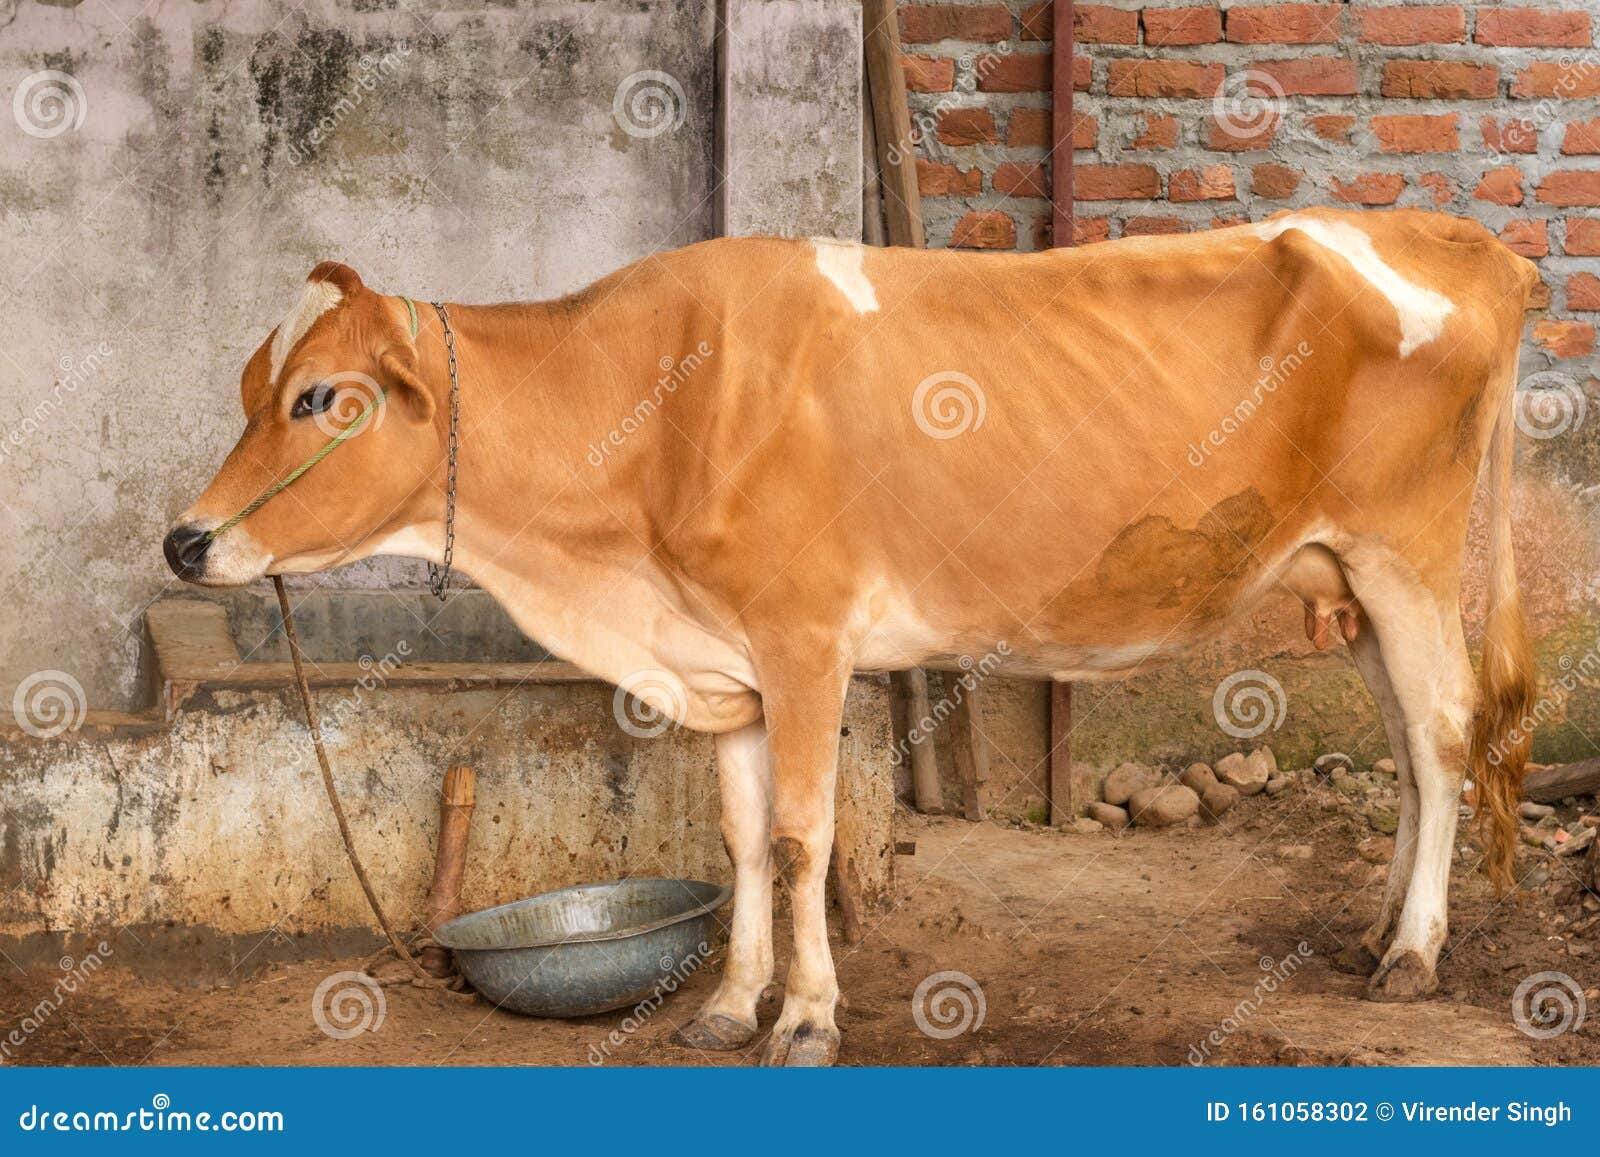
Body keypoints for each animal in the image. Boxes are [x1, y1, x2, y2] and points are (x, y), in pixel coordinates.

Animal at [165, 207, 1538, 1066]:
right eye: (250, 390)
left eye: (321, 397)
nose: (185, 541)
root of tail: (1460, 237)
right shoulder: (718, 663)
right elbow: (735, 835)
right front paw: (730, 1005)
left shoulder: (802, 638)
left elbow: (798, 836)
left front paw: (808, 1019)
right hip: (1345, 575)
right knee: (1409, 748)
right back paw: (1376, 930)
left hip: (1408, 557)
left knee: (1442, 736)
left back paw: (1414, 952)